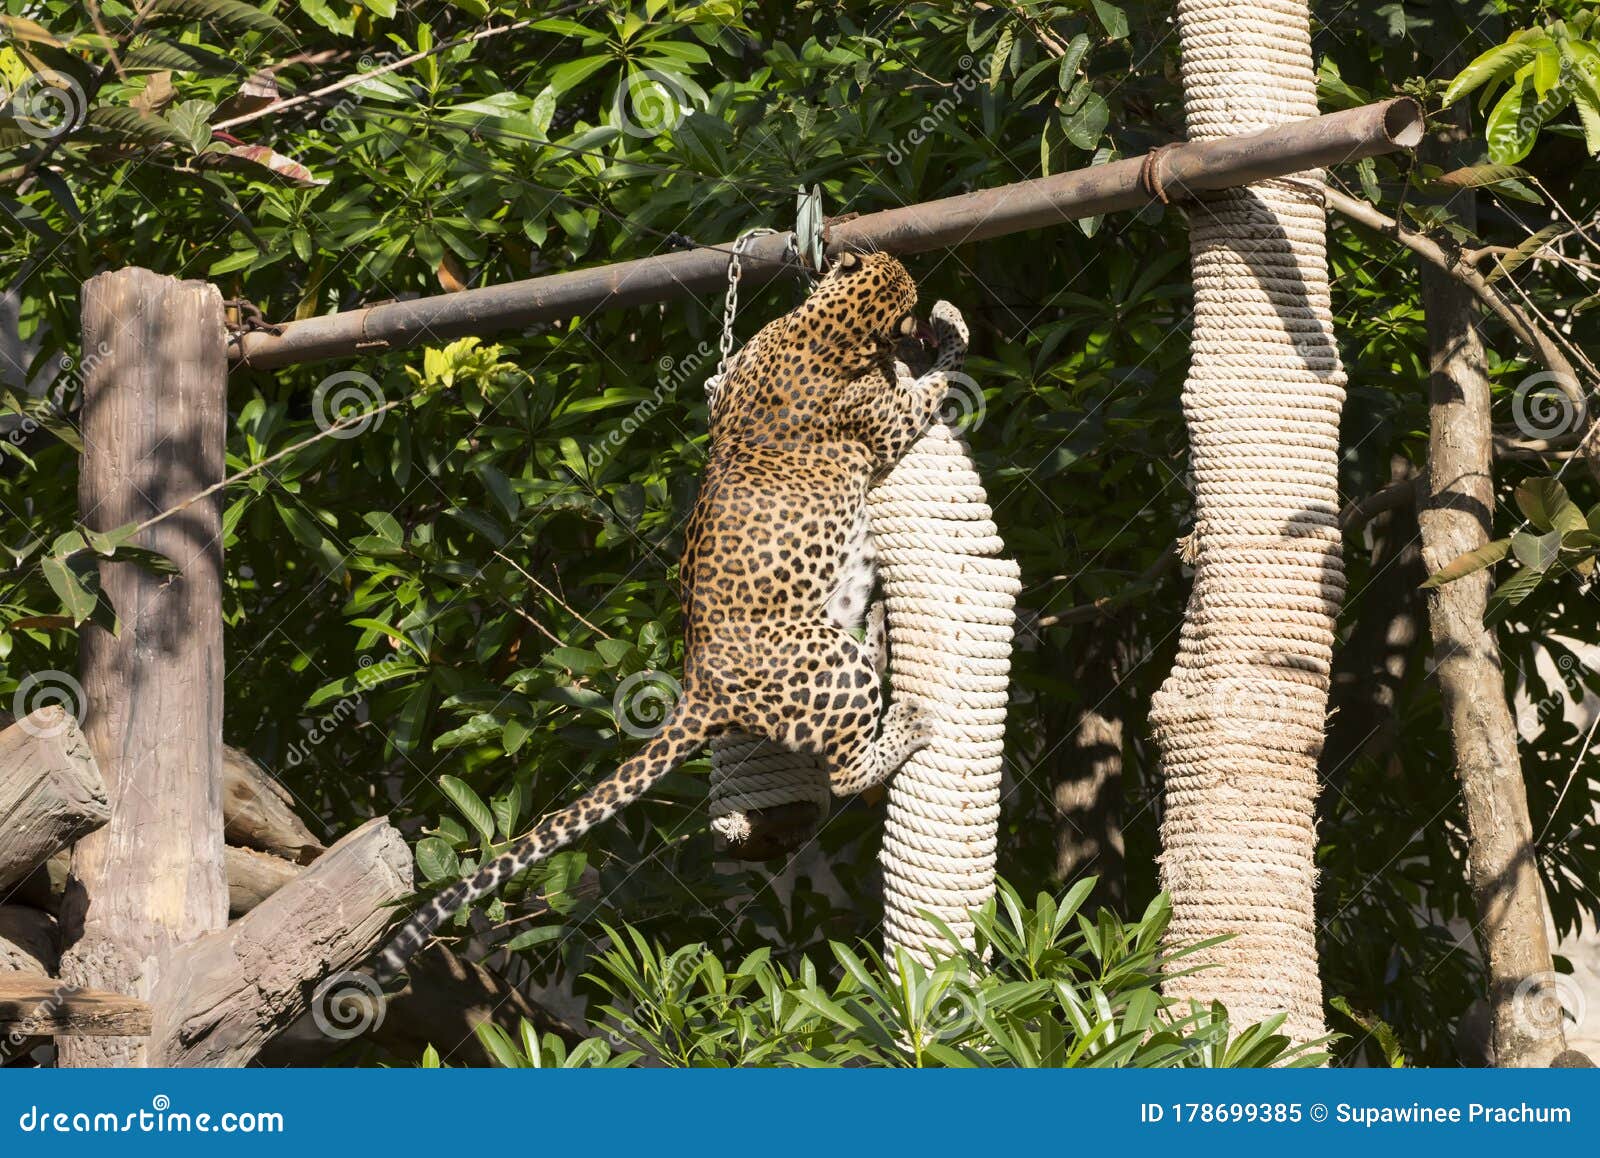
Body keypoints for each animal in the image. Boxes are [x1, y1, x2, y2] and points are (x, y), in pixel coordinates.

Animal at [371, 251, 968, 985]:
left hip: (835, 611)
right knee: (847, 770)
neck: (826, 323)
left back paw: (884, 628)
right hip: (826, 659)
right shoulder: (886, 421)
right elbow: (937, 382)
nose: (912, 278)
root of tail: (700, 686)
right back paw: (907, 721)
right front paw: (952, 326)